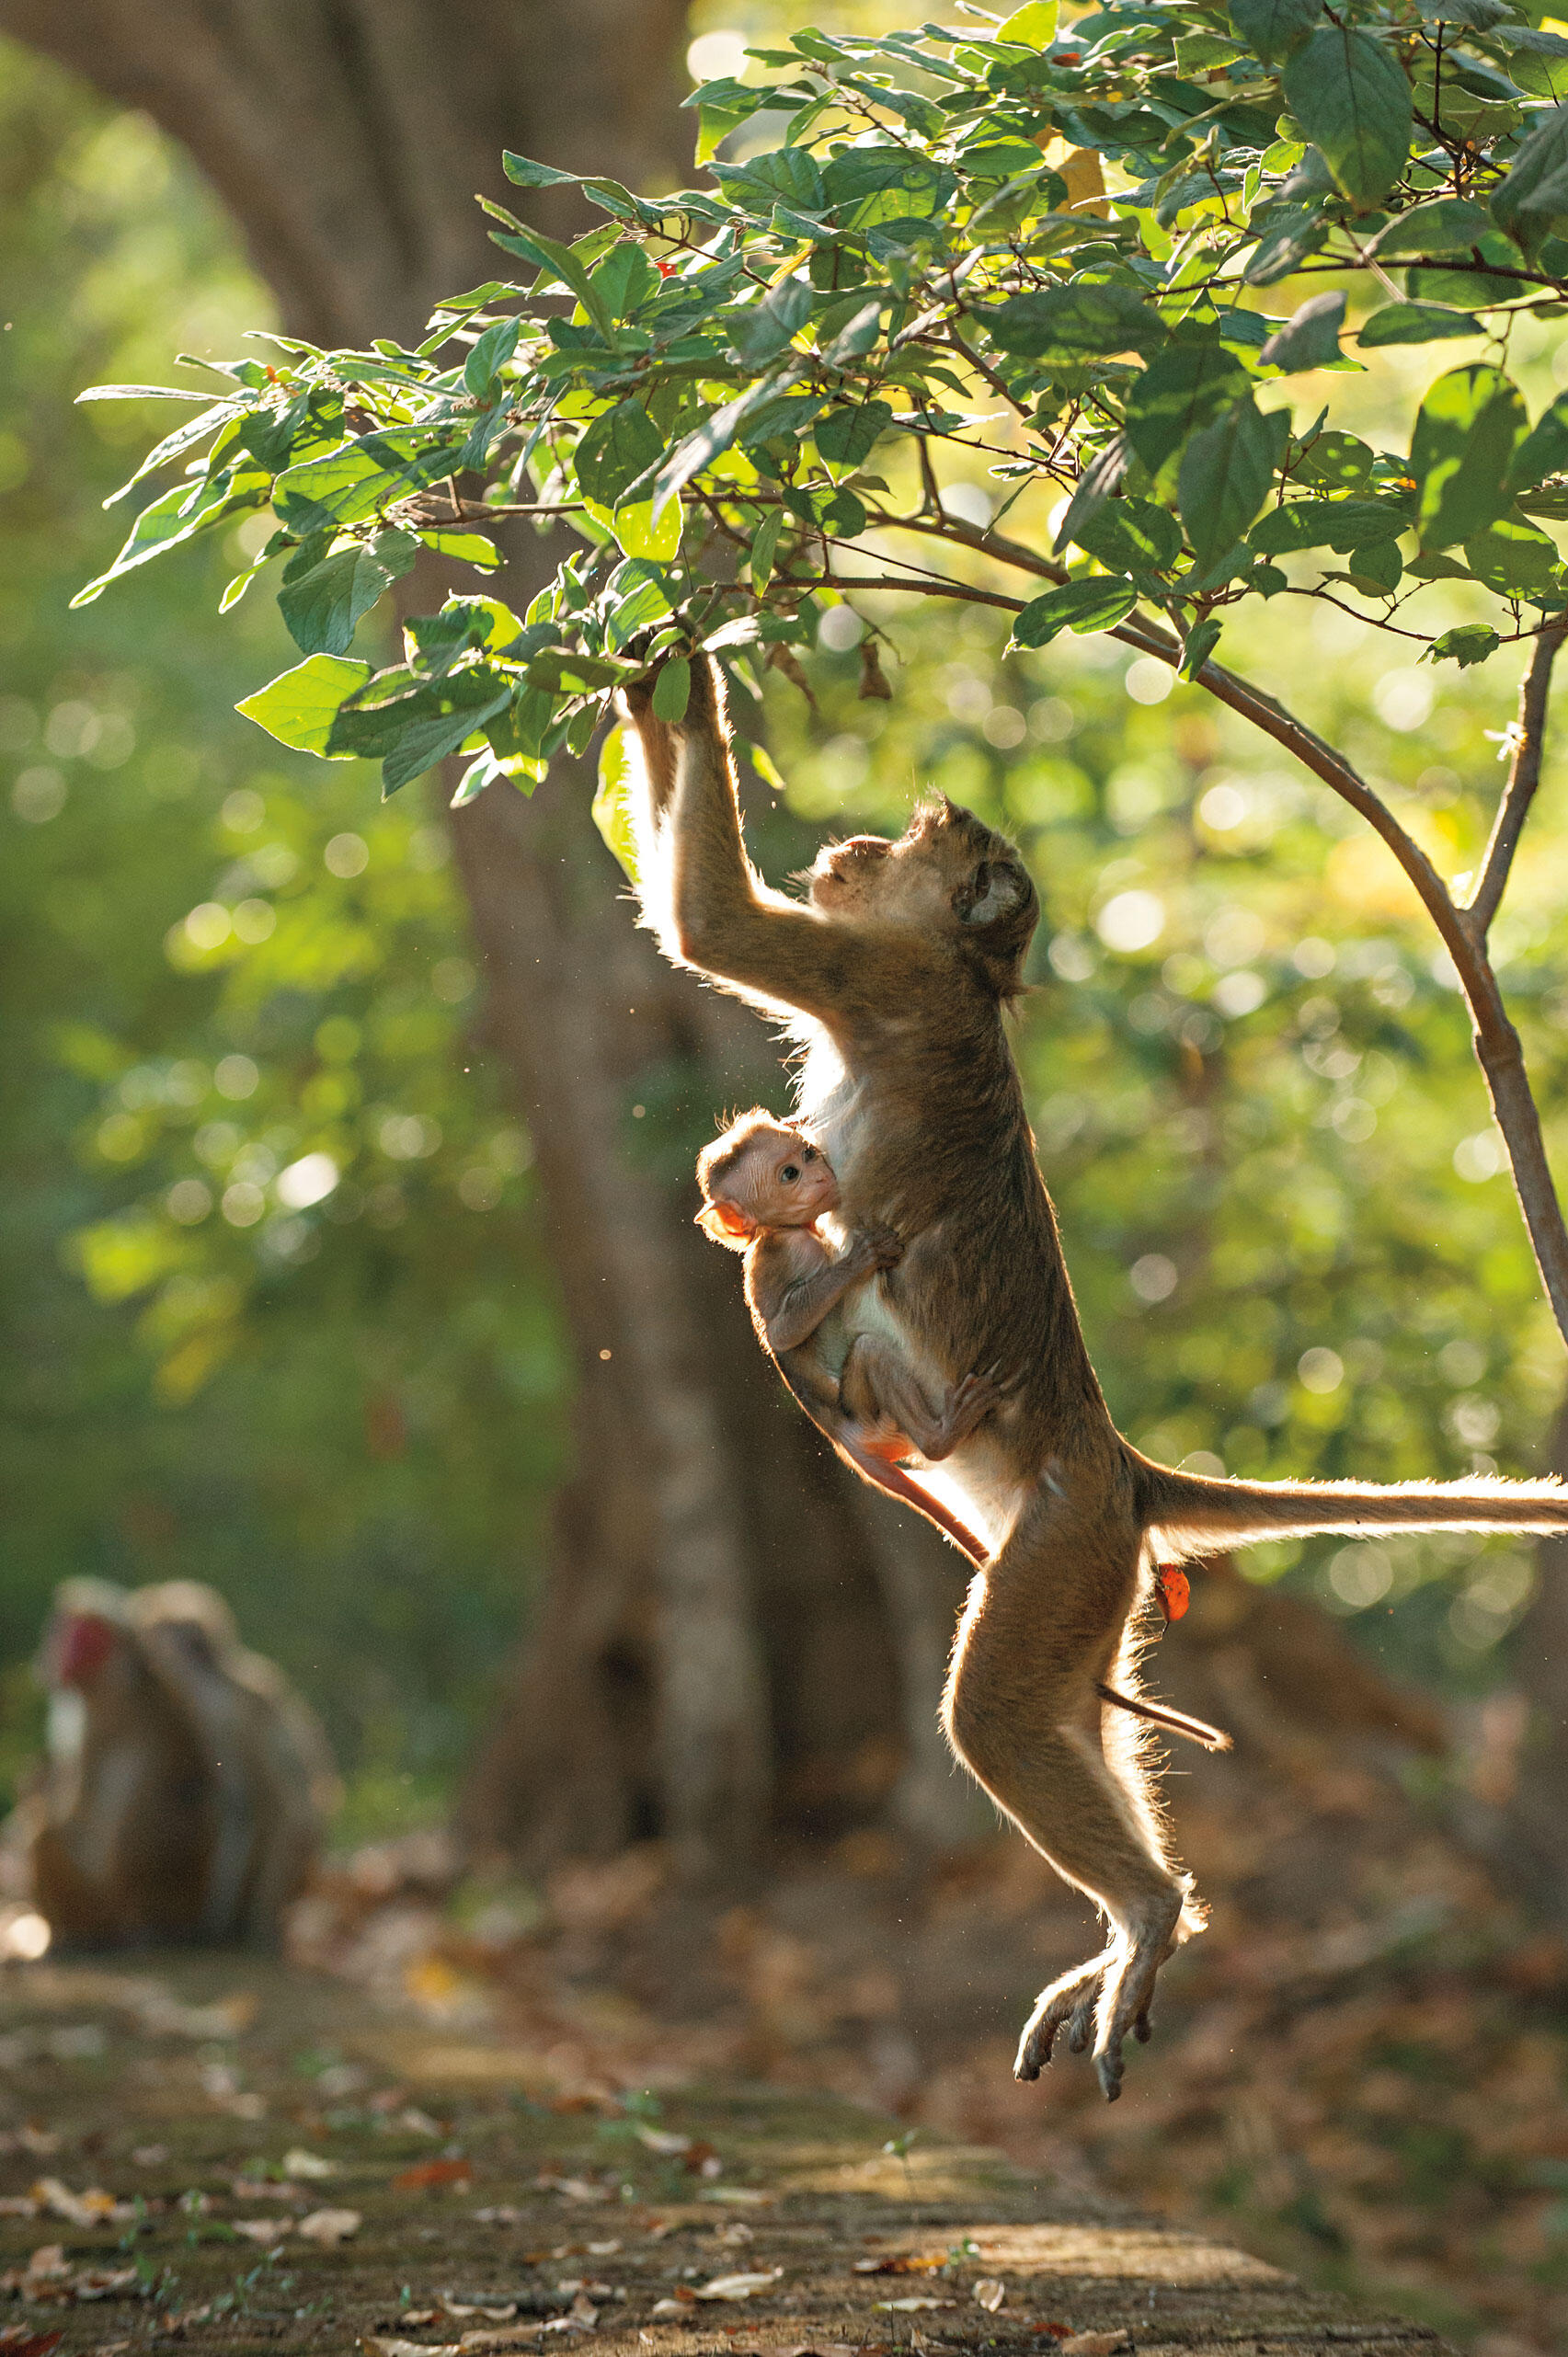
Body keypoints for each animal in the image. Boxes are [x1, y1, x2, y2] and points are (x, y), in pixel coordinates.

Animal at [621, 653, 1568, 2101]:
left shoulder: (873, 969)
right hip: (1095, 1578)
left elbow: (709, 925)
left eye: (915, 839)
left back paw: (1146, 1912)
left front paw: (670, 664)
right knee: (1065, 1712)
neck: (966, 974)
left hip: (1061, 1544)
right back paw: (1145, 1922)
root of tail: (1115, 1463)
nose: (848, 848)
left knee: (994, 1717)